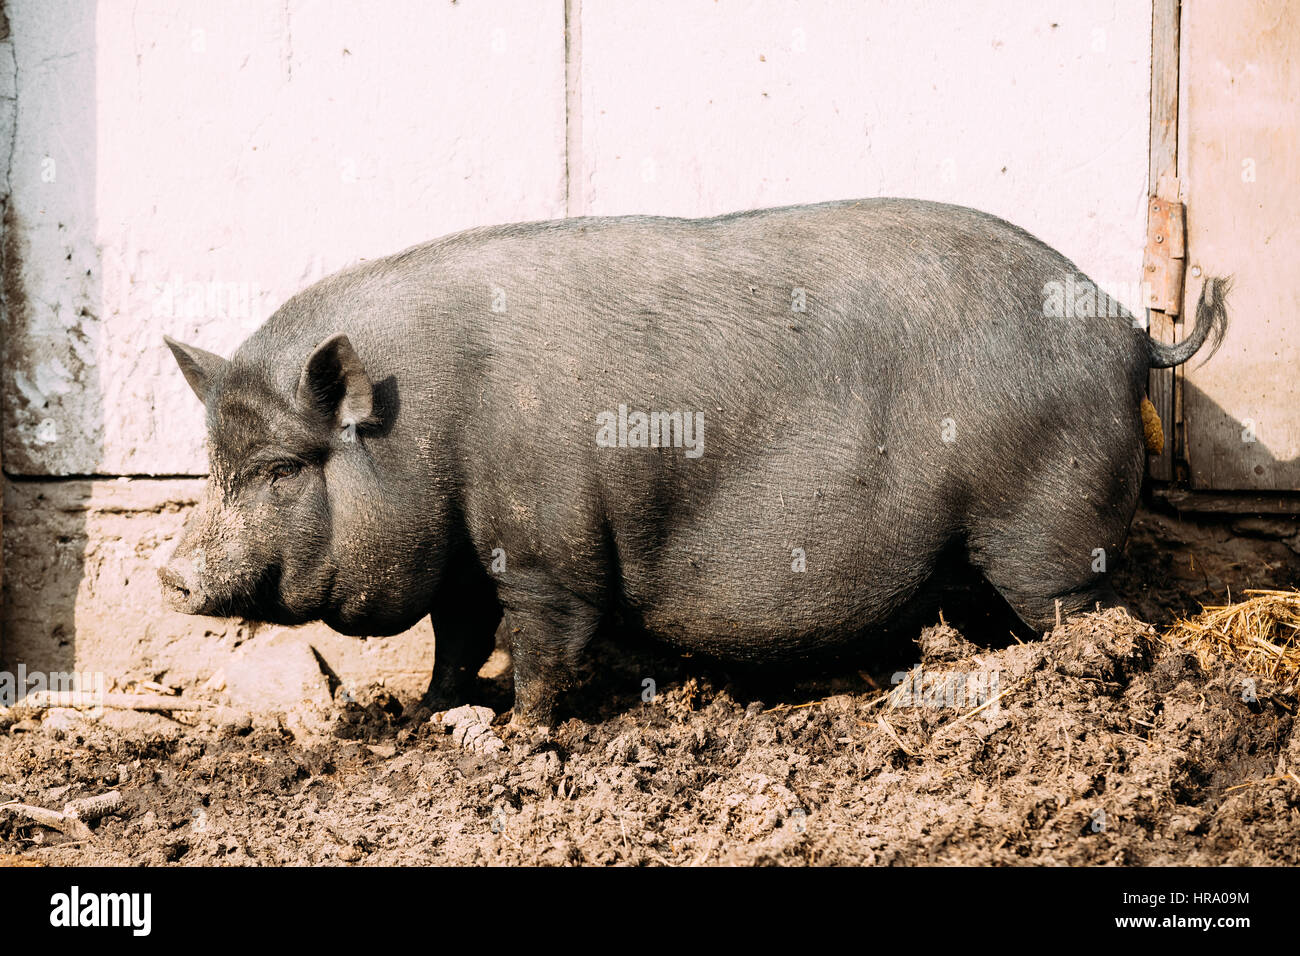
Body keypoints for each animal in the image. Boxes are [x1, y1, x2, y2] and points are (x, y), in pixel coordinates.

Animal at [160, 198, 1228, 726]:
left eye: (283, 469)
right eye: (215, 458)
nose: (170, 573)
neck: (423, 431)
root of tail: (1132, 334)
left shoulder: (550, 554)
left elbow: (544, 647)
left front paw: (515, 737)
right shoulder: (466, 553)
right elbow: (454, 641)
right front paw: (430, 718)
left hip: (1045, 530)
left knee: (1089, 620)